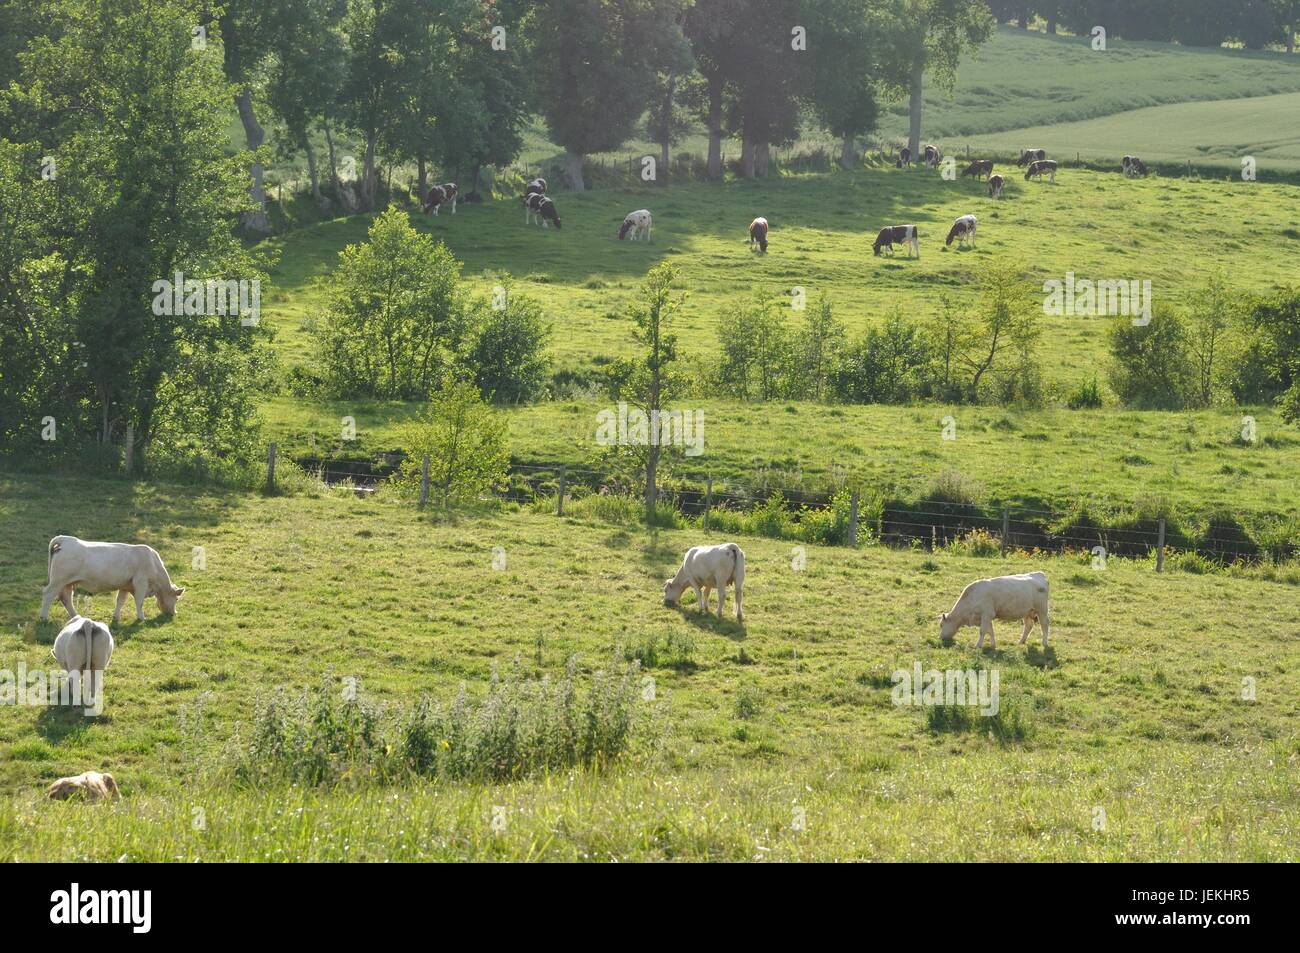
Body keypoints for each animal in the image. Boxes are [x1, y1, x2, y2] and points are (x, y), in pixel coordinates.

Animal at [41, 535, 185, 624]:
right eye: (177, 599)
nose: (174, 613)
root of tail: (66, 539)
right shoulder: (140, 583)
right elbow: (139, 602)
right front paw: (141, 618)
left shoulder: (125, 586)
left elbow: (120, 601)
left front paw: (116, 617)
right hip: (58, 581)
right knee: (48, 595)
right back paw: (43, 618)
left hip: (68, 583)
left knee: (66, 598)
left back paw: (76, 616)